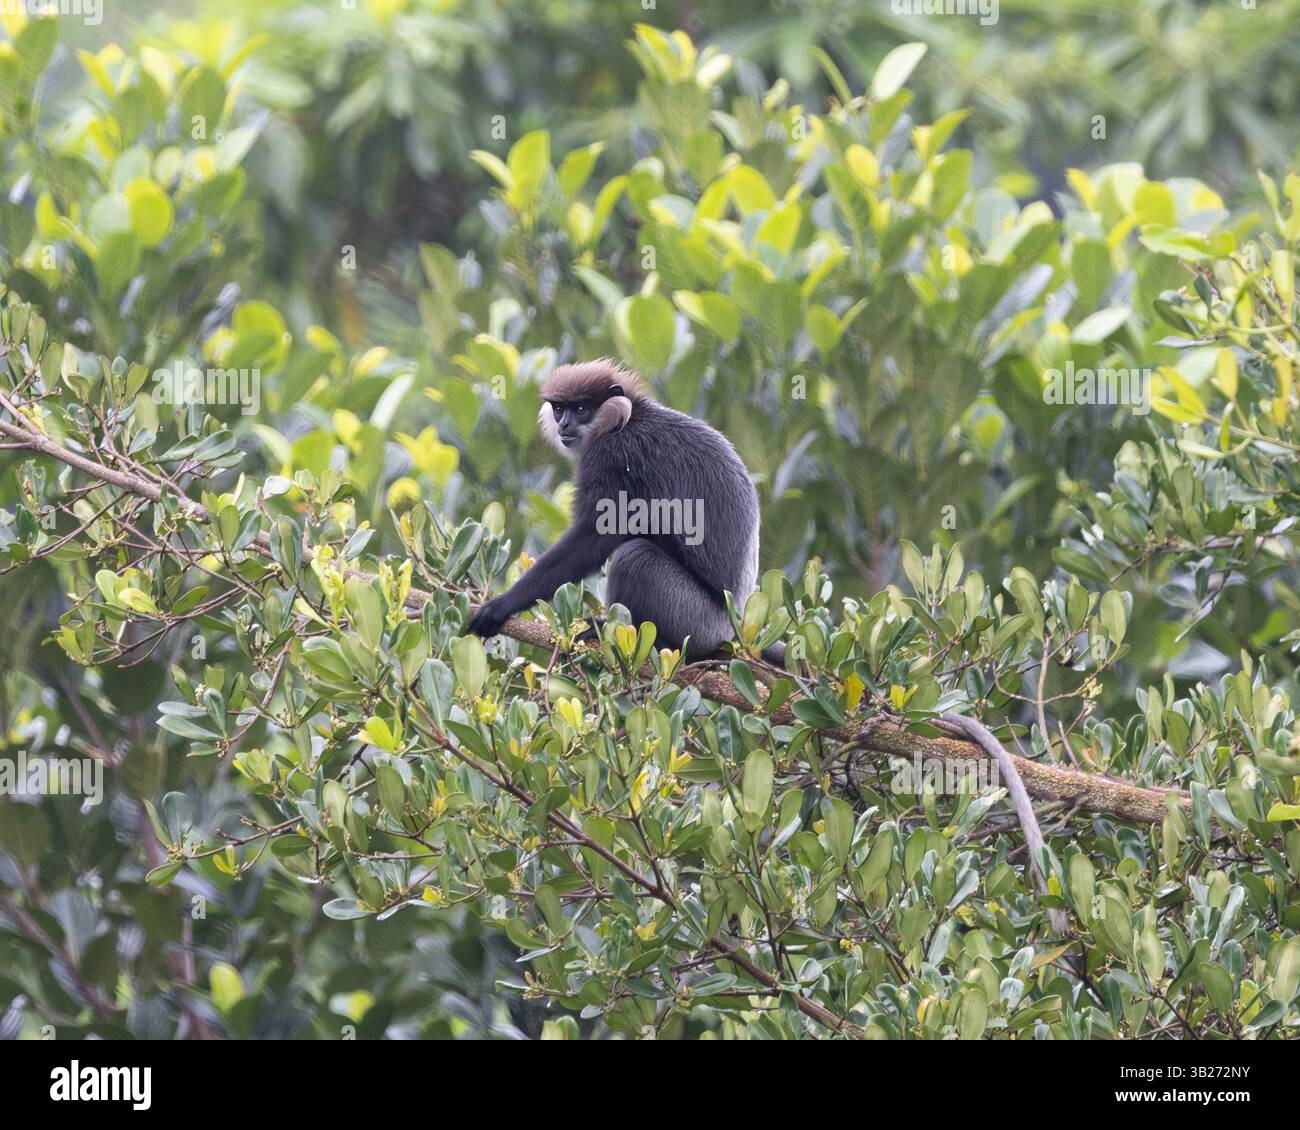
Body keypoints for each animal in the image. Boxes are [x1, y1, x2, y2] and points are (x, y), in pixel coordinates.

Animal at [468, 359, 783, 662]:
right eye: (559, 409)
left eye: (581, 409)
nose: (564, 425)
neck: (626, 419)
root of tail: (733, 627)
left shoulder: (612, 456)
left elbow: (595, 537)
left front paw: (502, 605)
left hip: (696, 621)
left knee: (634, 556)